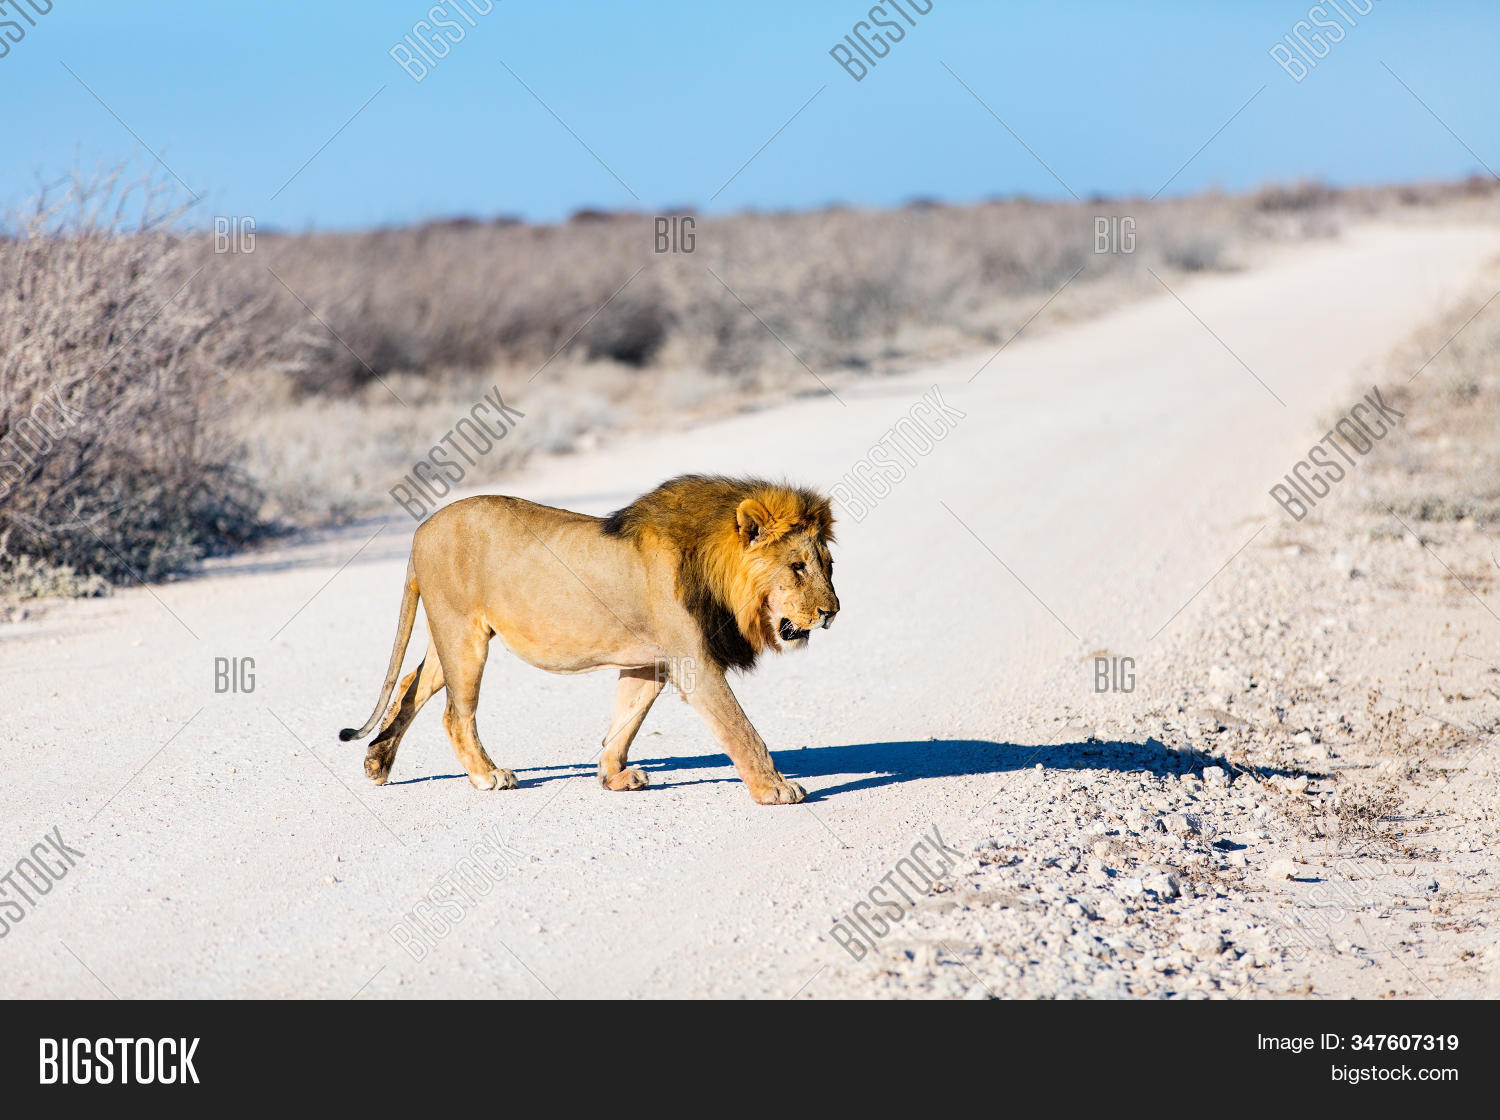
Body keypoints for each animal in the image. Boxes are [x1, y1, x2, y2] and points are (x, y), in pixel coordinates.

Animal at [339, 474, 839, 804]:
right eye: (797, 567)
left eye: (828, 565)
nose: (832, 612)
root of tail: (420, 530)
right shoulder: (694, 661)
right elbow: (741, 729)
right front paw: (775, 788)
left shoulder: (650, 662)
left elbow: (625, 721)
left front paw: (612, 777)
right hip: (463, 635)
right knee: (455, 715)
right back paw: (487, 776)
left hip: (451, 635)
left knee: (411, 684)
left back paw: (377, 762)